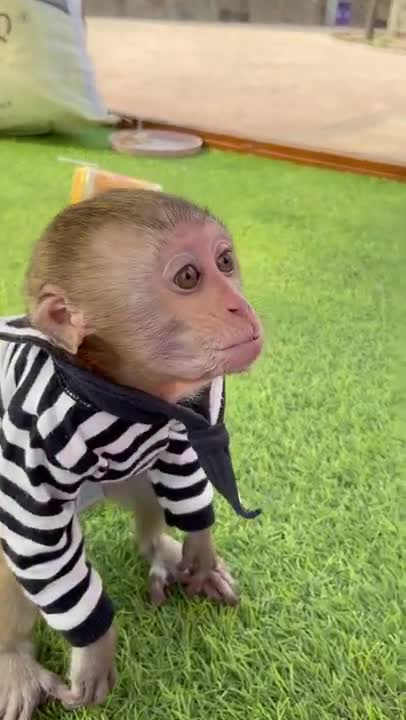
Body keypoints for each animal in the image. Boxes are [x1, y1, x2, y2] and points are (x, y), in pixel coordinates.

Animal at [0, 189, 263, 720]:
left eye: (226, 262)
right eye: (189, 277)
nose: (239, 306)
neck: (121, 389)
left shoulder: (177, 416)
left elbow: (180, 465)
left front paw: (199, 549)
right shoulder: (35, 432)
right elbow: (38, 540)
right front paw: (95, 648)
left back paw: (159, 548)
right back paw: (13, 661)